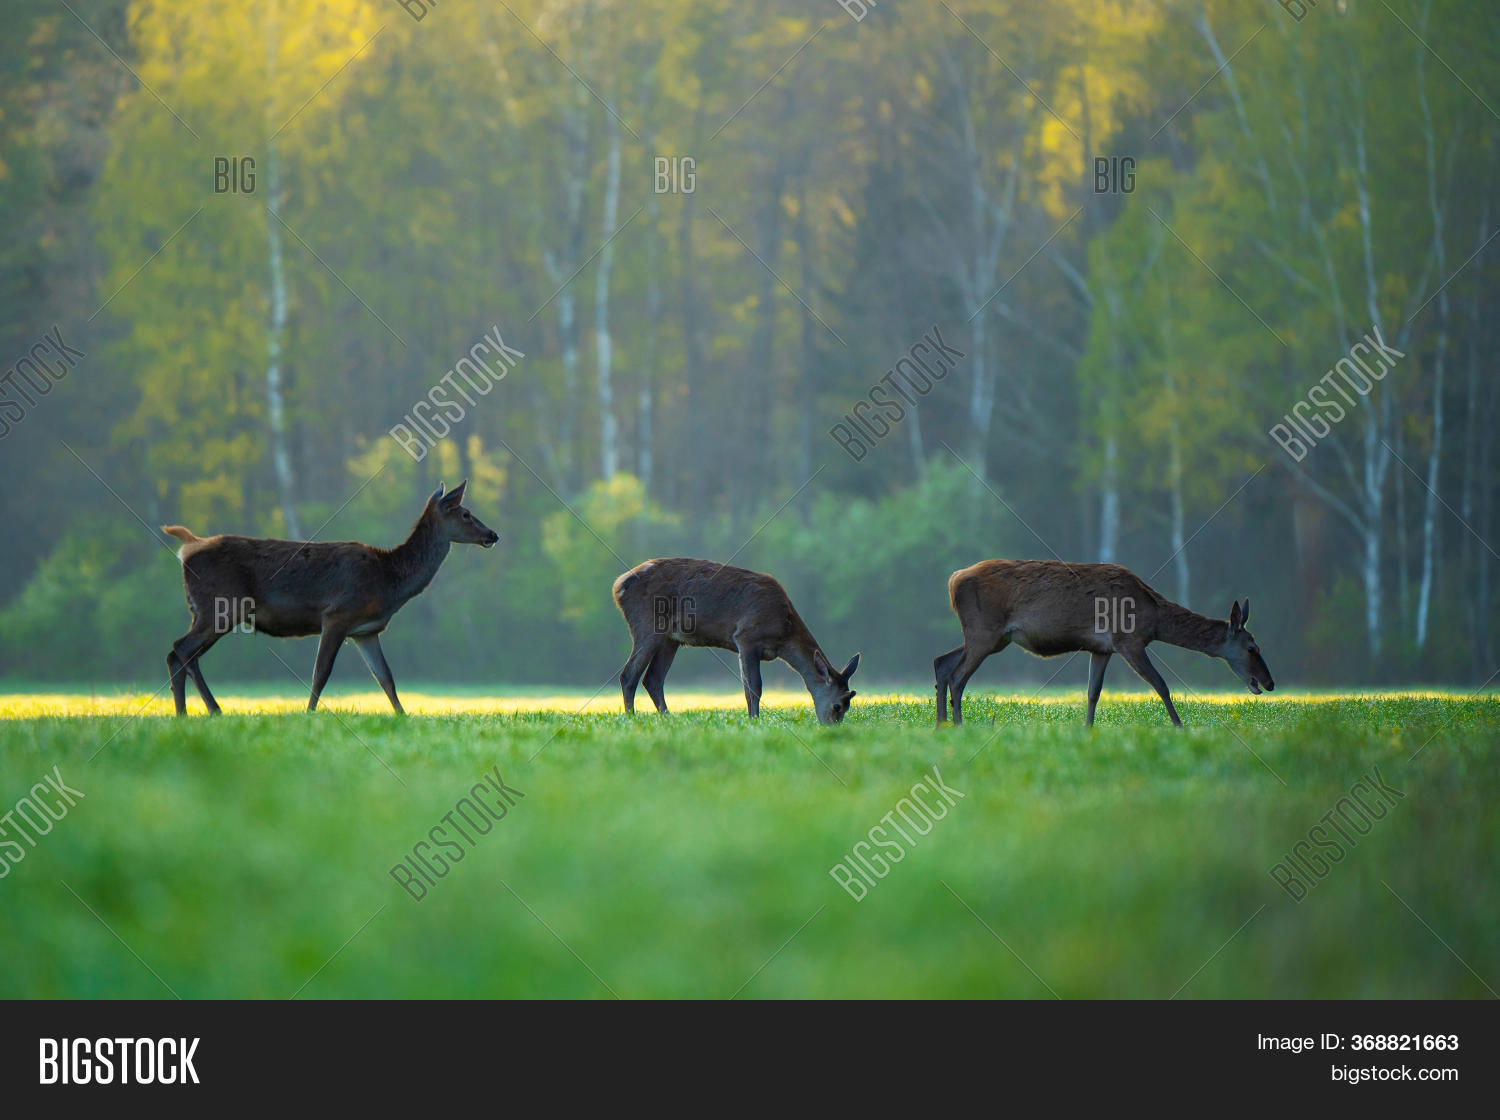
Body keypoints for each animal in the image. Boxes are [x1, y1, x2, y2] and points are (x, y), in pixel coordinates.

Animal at [161, 481, 497, 717]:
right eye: (466, 514)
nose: (493, 535)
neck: (389, 580)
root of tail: (188, 547)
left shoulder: (366, 631)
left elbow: (385, 677)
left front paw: (403, 717)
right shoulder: (337, 614)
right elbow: (320, 672)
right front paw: (308, 714)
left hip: (204, 610)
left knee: (178, 653)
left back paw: (183, 715)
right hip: (220, 607)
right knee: (182, 649)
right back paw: (212, 710)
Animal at [613, 558, 860, 724]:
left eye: (848, 706)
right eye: (838, 705)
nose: (831, 727)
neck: (784, 635)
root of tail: (618, 586)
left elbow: (748, 686)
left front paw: (752, 719)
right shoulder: (747, 637)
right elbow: (754, 686)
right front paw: (755, 721)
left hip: (670, 640)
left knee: (652, 678)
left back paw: (667, 716)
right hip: (647, 624)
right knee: (629, 674)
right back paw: (631, 717)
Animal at [933, 559, 1274, 727]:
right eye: (1252, 648)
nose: (1269, 682)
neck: (1153, 617)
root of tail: (952, 580)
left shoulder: (1101, 648)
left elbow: (1093, 693)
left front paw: (1087, 729)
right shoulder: (1128, 640)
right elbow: (1161, 684)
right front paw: (1179, 725)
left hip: (992, 637)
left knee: (942, 662)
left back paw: (941, 725)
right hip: (985, 631)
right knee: (958, 676)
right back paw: (959, 725)